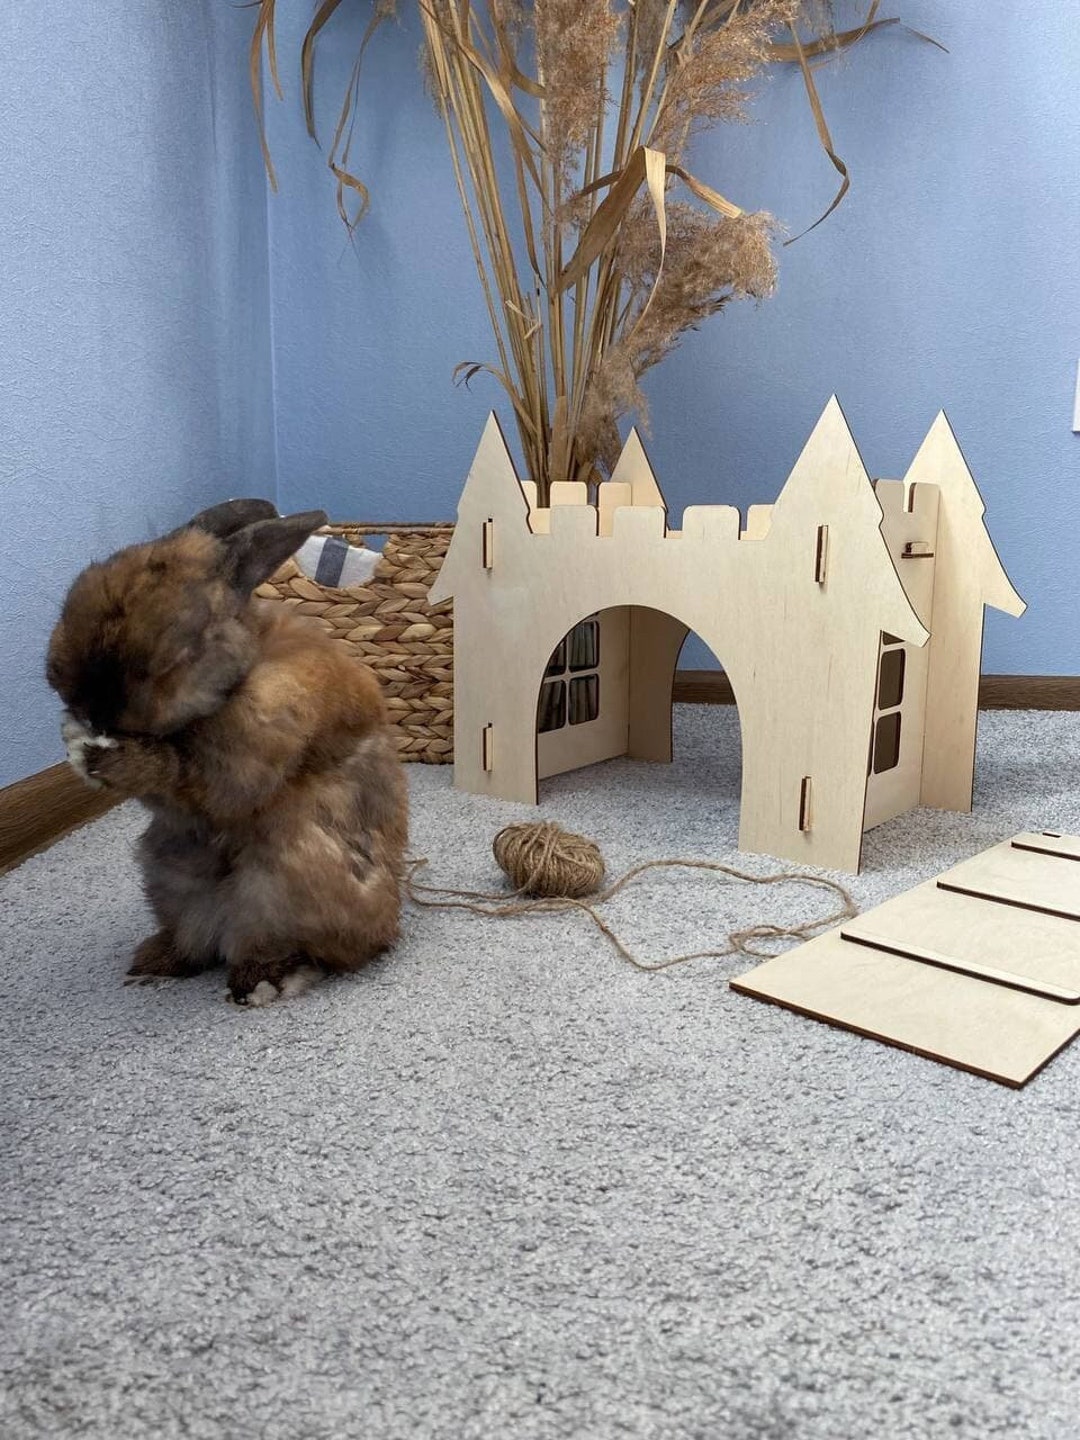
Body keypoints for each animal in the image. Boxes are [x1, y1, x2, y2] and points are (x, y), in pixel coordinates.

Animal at [46, 498, 408, 1007]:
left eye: (175, 657)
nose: (89, 706)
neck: (246, 662)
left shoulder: (251, 744)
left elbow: (196, 777)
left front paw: (103, 756)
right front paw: (76, 741)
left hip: (281, 886)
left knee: (297, 951)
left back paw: (264, 982)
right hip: (169, 873)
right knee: (194, 944)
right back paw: (153, 963)